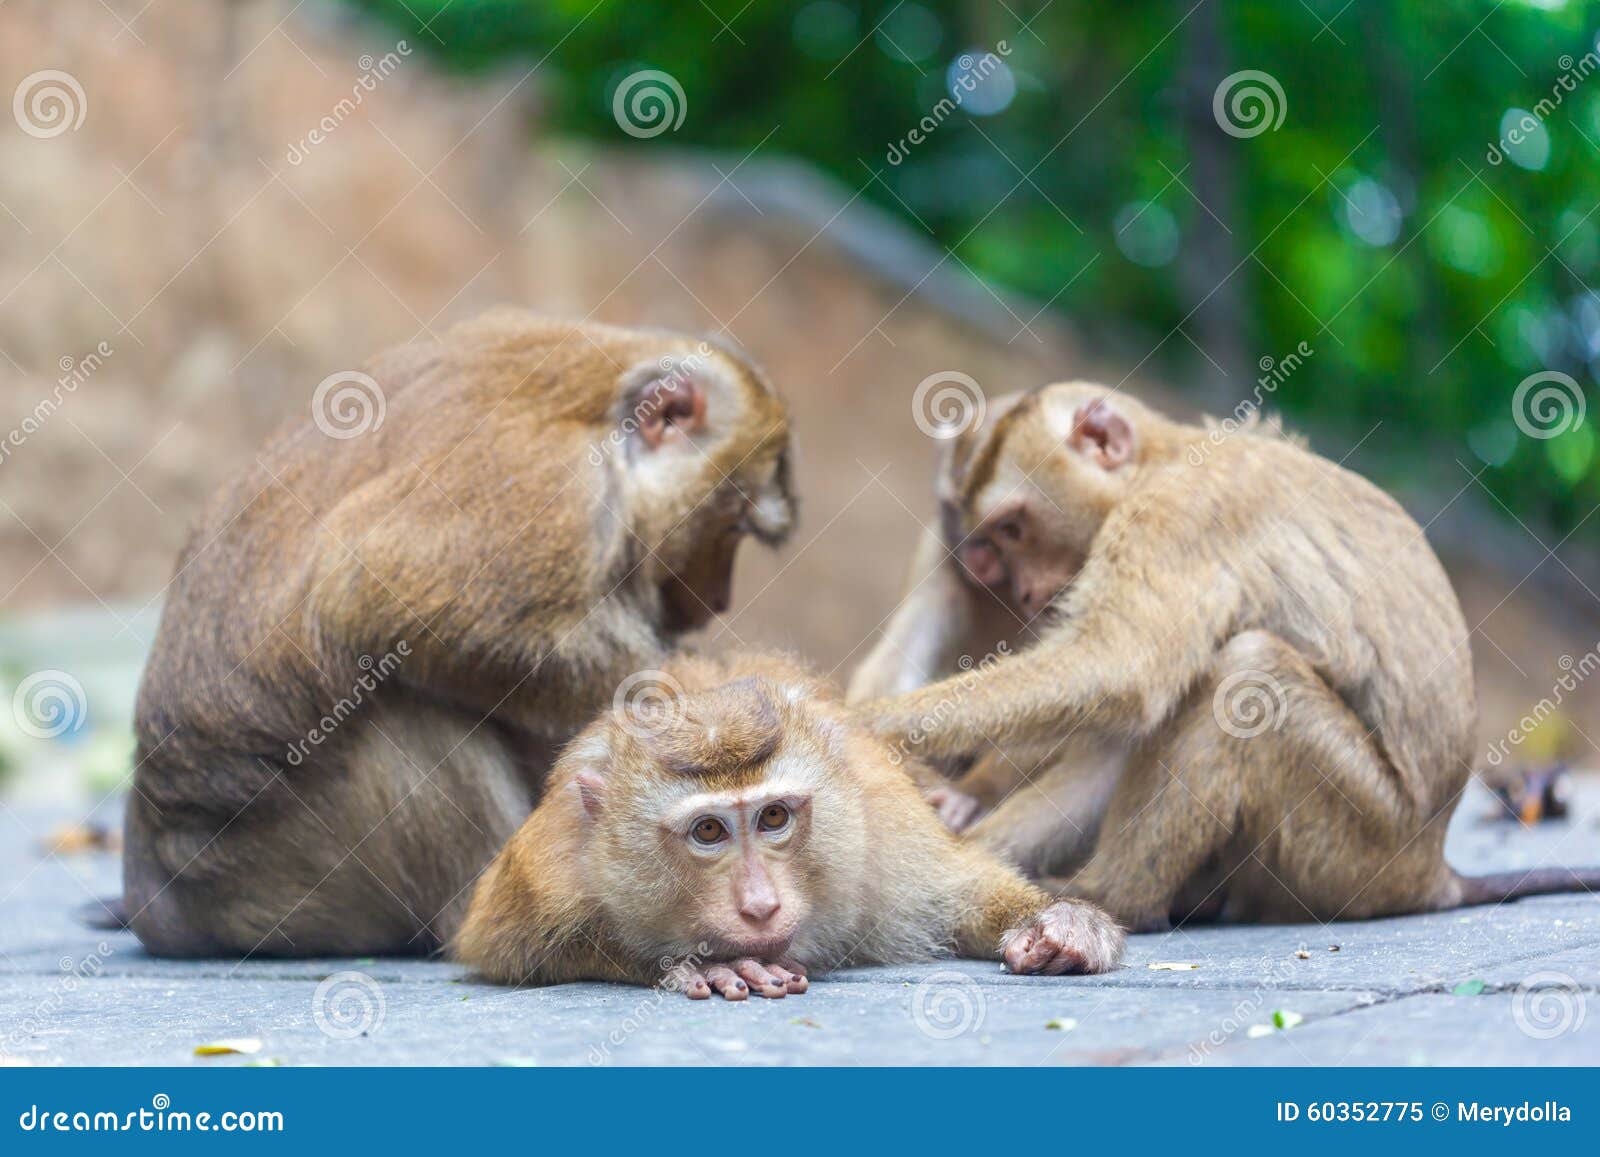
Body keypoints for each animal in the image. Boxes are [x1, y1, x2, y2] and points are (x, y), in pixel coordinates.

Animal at [119, 310, 796, 958]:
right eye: (733, 525)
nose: (714, 600)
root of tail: (160, 877)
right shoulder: (544, 486)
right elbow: (365, 594)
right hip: (290, 863)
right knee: (403, 707)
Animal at [454, 652, 1125, 997]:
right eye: (708, 832)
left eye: (773, 816)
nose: (760, 906)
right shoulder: (549, 874)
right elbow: (506, 946)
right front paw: (709, 964)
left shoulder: (883, 834)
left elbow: (959, 891)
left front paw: (1060, 923)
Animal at [860, 380, 1600, 931]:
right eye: (986, 540)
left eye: (1011, 528)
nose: (1013, 586)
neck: (1163, 458)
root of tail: (1430, 871)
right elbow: (1116, 713)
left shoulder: (1176, 516)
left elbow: (1118, 670)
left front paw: (866, 727)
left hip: (1356, 843)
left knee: (1249, 671)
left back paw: (1107, 897)